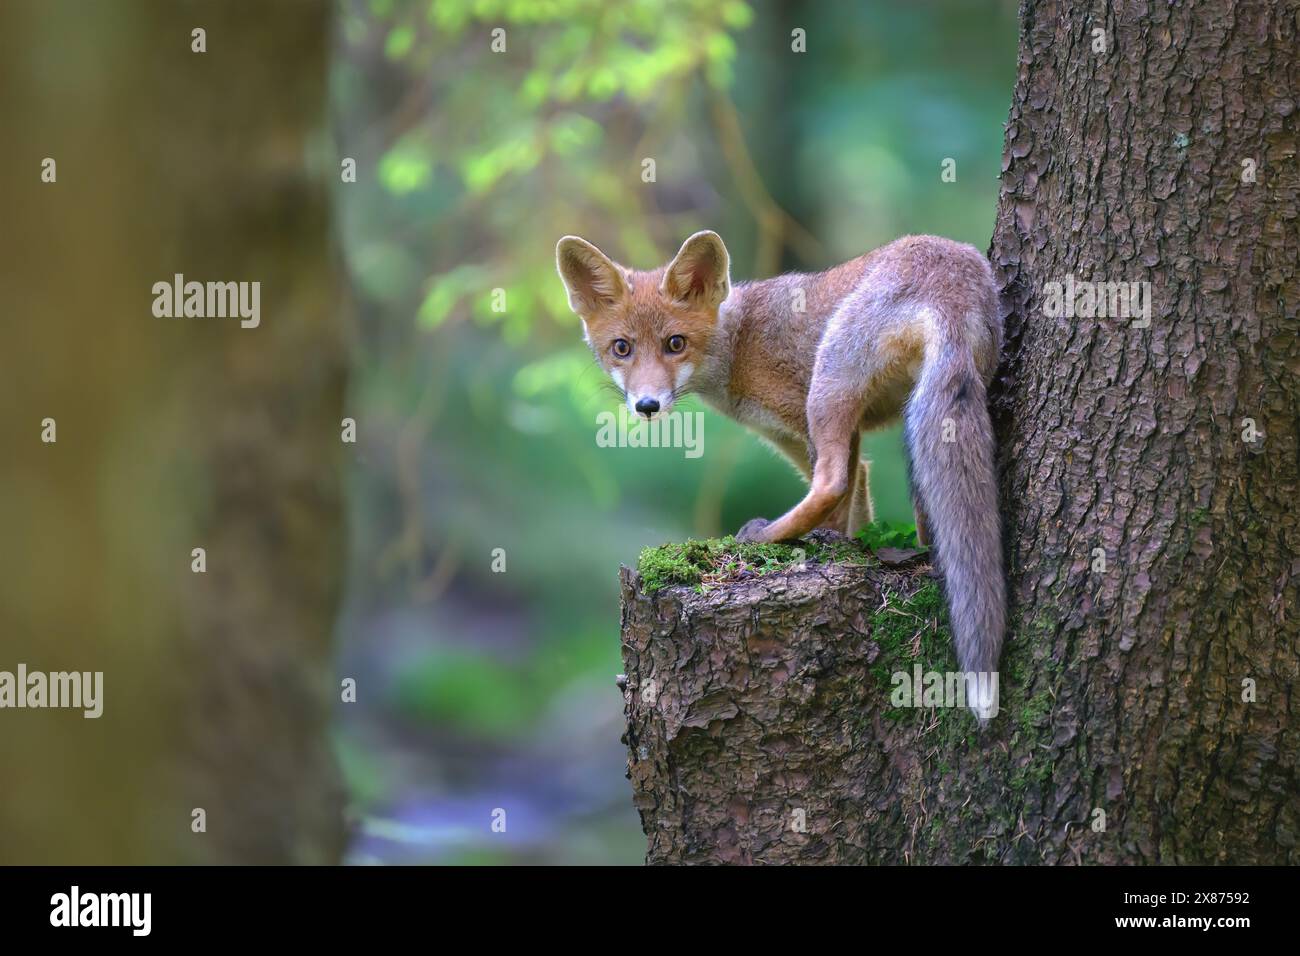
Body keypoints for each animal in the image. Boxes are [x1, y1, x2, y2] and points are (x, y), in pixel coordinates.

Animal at [556, 230, 1005, 719]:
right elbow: (859, 511)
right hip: (921, 422)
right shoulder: (800, 439)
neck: (739, 345)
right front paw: (857, 548)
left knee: (830, 484)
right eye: (622, 348)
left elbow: (837, 501)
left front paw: (825, 546)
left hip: (827, 387)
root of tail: (951, 282)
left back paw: (764, 536)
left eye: (675, 343)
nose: (647, 406)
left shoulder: (812, 426)